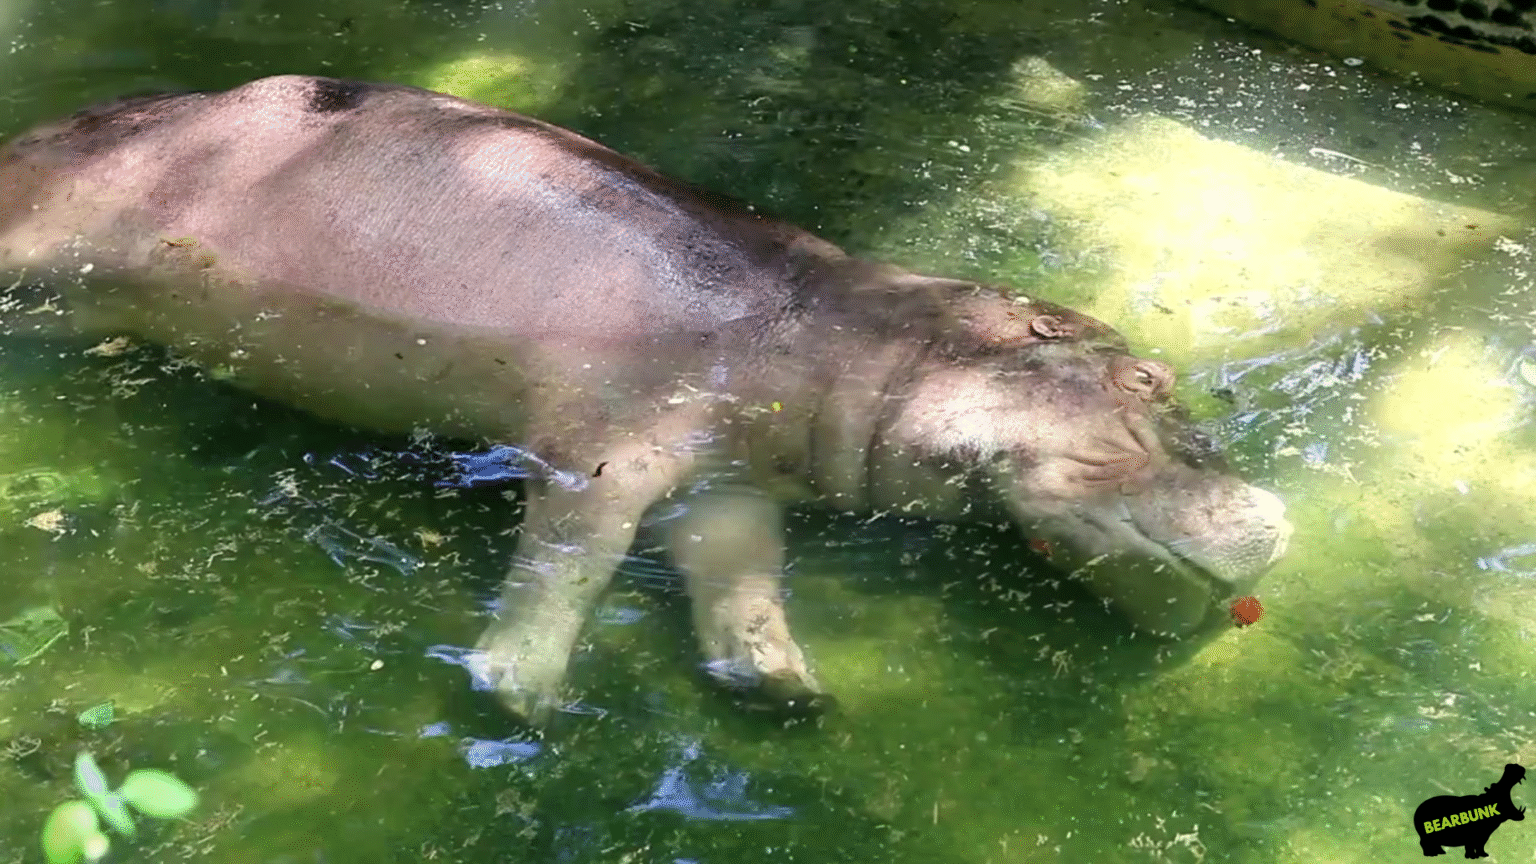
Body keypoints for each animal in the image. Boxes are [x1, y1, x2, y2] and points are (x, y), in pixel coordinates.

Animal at [0, 76, 1291, 724]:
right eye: (1149, 381)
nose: (1282, 518)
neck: (868, 339)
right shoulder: (605, 450)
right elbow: (574, 560)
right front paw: (519, 696)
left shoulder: (726, 488)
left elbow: (741, 578)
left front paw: (785, 688)